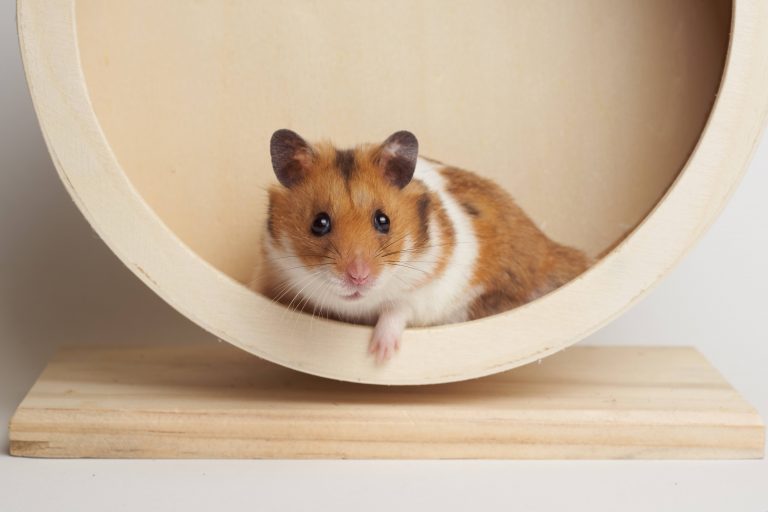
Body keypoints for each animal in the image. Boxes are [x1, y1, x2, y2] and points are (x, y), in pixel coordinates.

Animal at [257, 129, 590, 361]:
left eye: (383, 220)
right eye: (319, 223)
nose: (359, 277)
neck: (359, 305)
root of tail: (550, 250)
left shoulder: (428, 288)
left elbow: (397, 309)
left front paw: (380, 356)